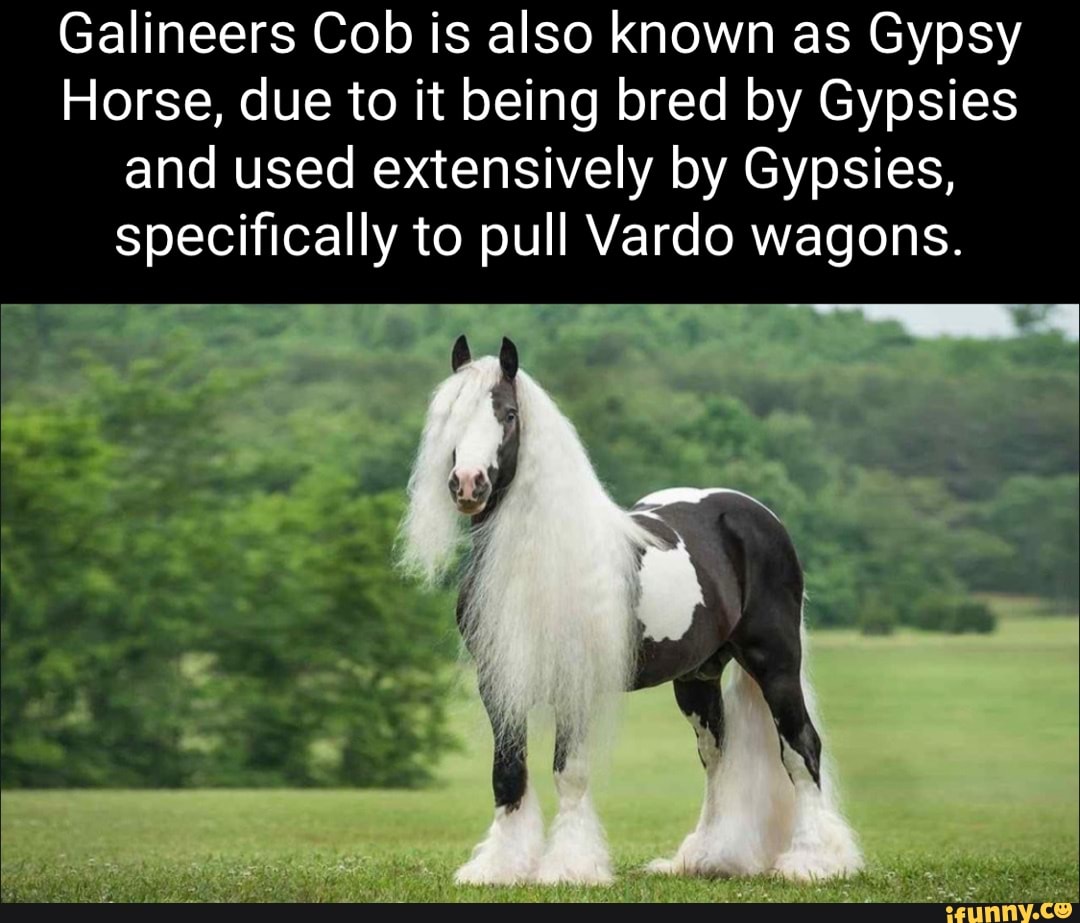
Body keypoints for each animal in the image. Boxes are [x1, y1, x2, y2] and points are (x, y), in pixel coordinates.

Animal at [400, 336, 863, 886]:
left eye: (508, 414)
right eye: (451, 414)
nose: (468, 484)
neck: (534, 558)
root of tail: (754, 514)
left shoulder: (573, 681)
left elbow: (570, 772)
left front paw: (570, 867)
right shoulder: (498, 682)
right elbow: (508, 773)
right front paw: (499, 868)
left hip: (775, 664)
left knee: (800, 748)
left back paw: (813, 861)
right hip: (698, 676)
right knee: (717, 757)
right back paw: (707, 857)